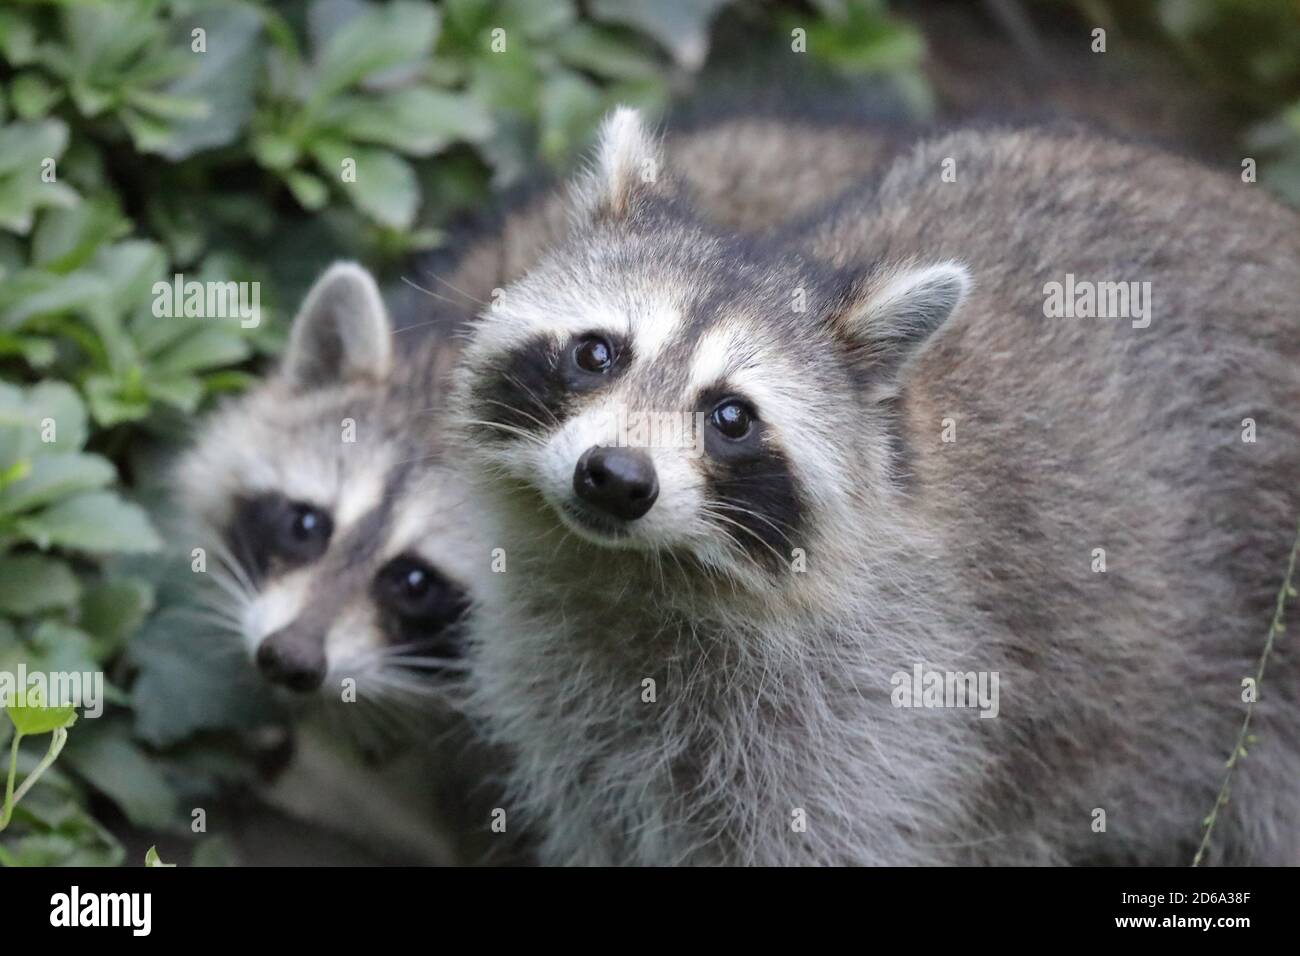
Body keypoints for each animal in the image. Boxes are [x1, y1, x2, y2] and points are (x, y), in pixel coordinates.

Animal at [452, 108, 1300, 865]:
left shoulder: (882, 708)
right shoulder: (575, 709)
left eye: (731, 417)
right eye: (596, 353)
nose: (618, 479)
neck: (634, 574)